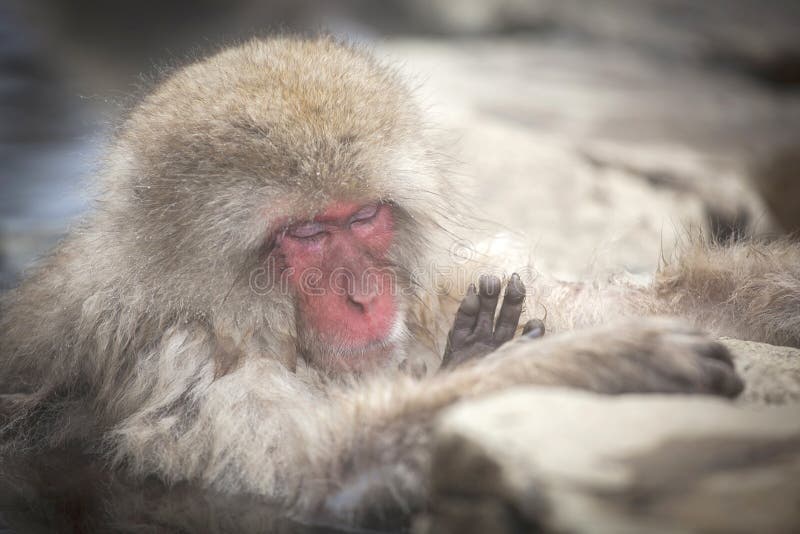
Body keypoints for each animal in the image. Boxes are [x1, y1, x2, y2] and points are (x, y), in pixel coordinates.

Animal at [0, 36, 798, 533]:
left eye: (364, 215)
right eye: (305, 233)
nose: (361, 295)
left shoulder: (432, 288)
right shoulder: (183, 368)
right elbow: (327, 471)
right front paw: (608, 359)